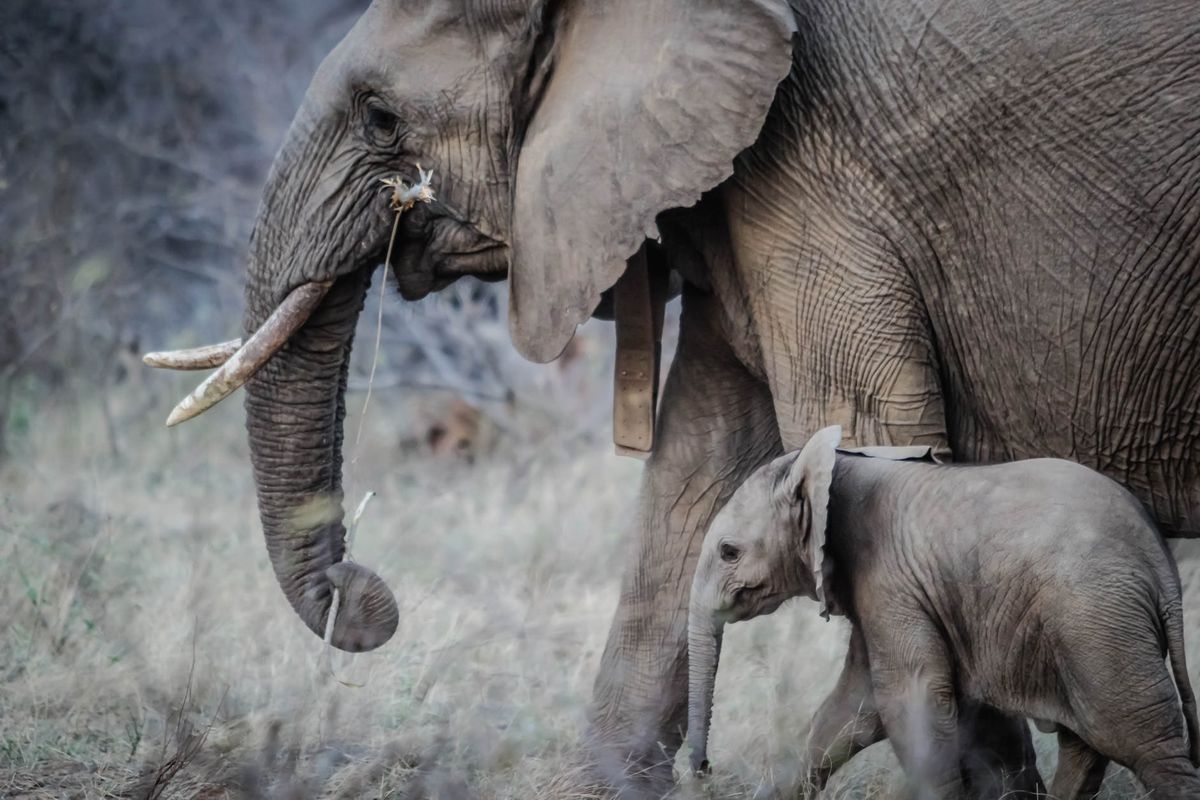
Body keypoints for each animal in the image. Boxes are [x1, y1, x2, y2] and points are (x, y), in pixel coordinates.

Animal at [687, 426, 1200, 800]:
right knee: (1088, 744)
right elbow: (852, 710)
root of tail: (1160, 563)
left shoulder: (891, 580)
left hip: (1096, 622)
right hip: (1090, 627)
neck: (835, 465)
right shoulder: (885, 591)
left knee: (1143, 744)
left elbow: (910, 700)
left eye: (729, 552)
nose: (704, 770)